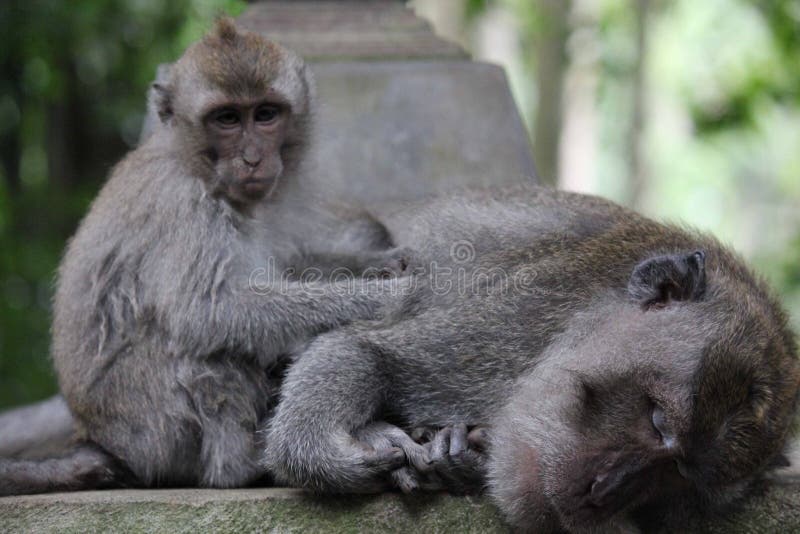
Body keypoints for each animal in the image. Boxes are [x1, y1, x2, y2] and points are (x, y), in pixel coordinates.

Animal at [0, 19, 416, 496]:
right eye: (227, 119)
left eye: (266, 114)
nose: (253, 159)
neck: (200, 167)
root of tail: (105, 444)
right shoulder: (181, 203)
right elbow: (206, 311)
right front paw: (384, 296)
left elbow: (284, 260)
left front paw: (382, 262)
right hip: (160, 434)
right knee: (205, 350)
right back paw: (242, 465)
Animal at [262, 184, 800, 532]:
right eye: (658, 421)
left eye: (677, 480)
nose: (602, 493)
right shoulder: (509, 332)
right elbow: (361, 351)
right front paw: (332, 451)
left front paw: (463, 454)